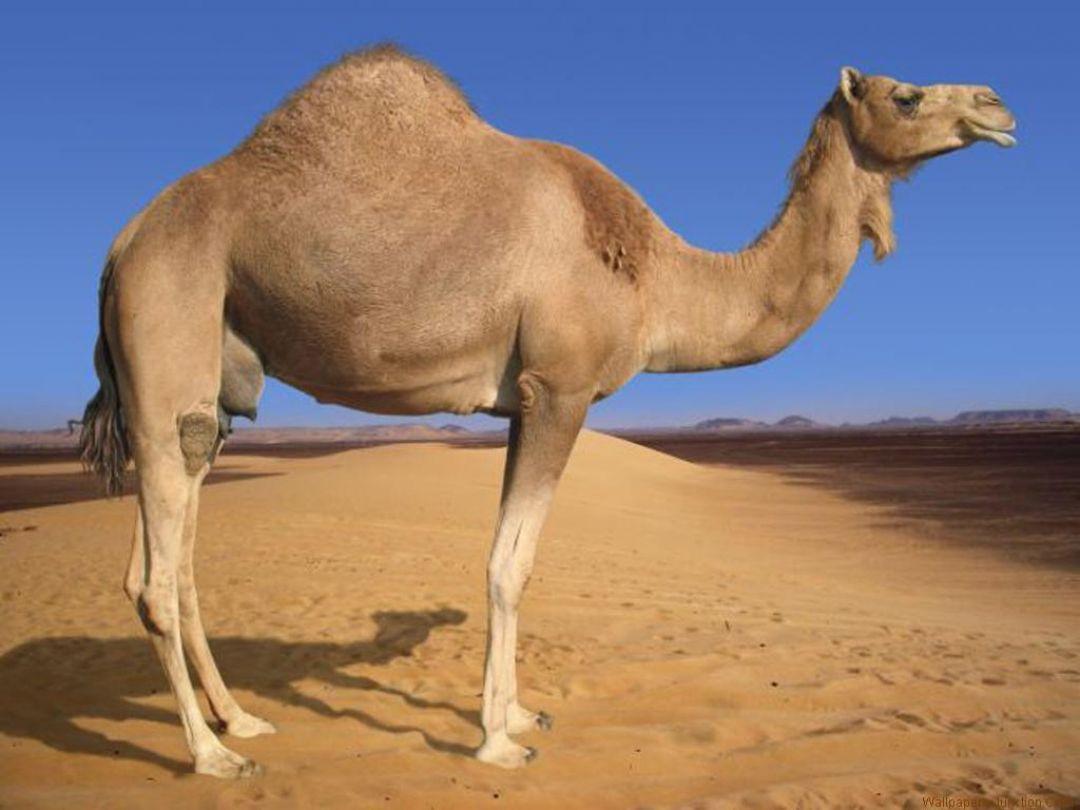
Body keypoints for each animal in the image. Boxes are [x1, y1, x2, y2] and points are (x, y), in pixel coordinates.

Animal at [79, 44, 1016, 777]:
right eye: (907, 94)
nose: (998, 106)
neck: (659, 276)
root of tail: (121, 245)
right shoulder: (559, 388)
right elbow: (510, 564)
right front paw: (499, 741)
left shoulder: (521, 401)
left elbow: (513, 558)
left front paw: (521, 713)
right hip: (169, 326)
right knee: (157, 574)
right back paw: (211, 755)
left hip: (211, 387)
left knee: (172, 554)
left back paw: (241, 719)